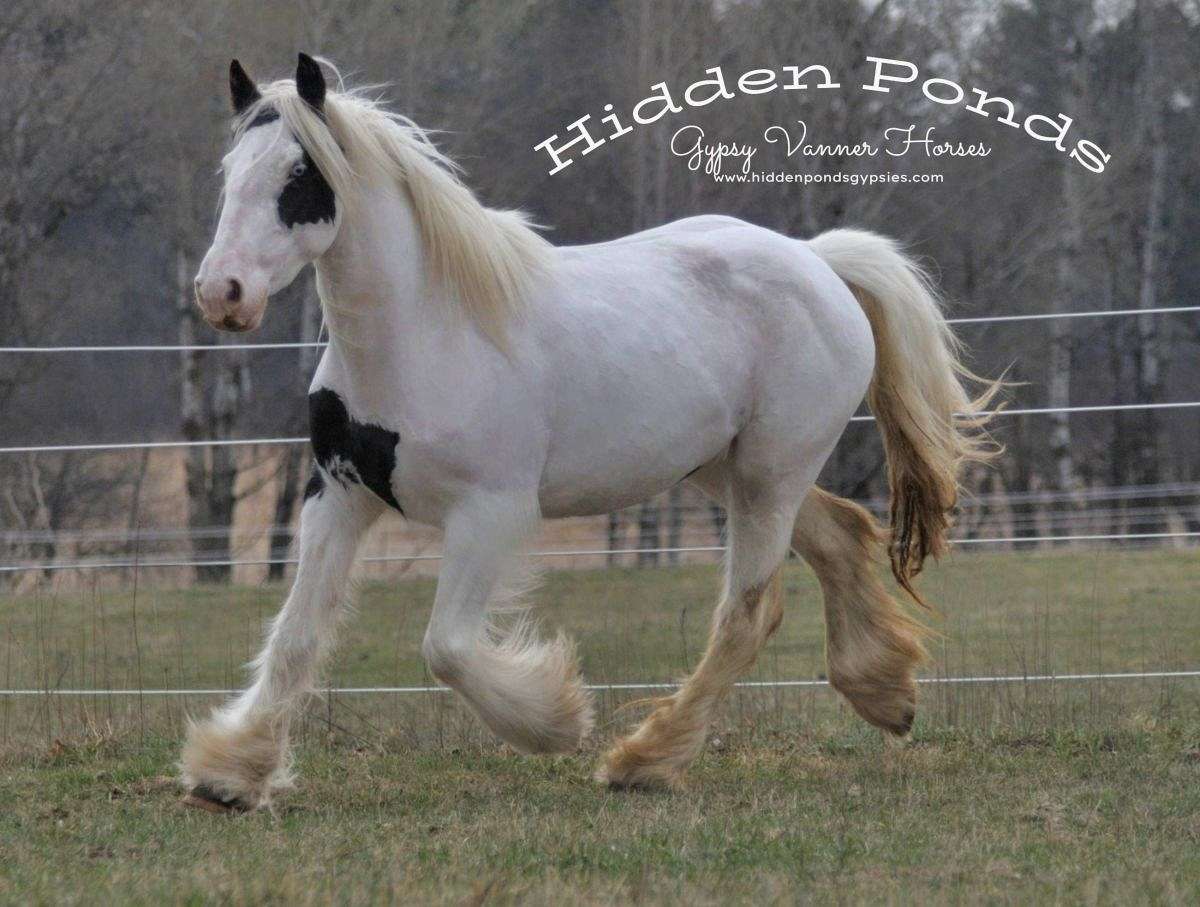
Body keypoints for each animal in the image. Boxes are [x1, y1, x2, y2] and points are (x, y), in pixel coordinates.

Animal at [183, 54, 999, 812]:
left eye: (299, 174)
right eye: (228, 170)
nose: (222, 294)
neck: (427, 333)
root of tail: (819, 262)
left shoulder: (491, 512)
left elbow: (446, 648)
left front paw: (557, 720)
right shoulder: (339, 496)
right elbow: (296, 638)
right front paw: (230, 774)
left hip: (770, 475)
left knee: (748, 613)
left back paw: (643, 759)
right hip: (727, 468)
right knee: (840, 535)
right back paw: (886, 694)